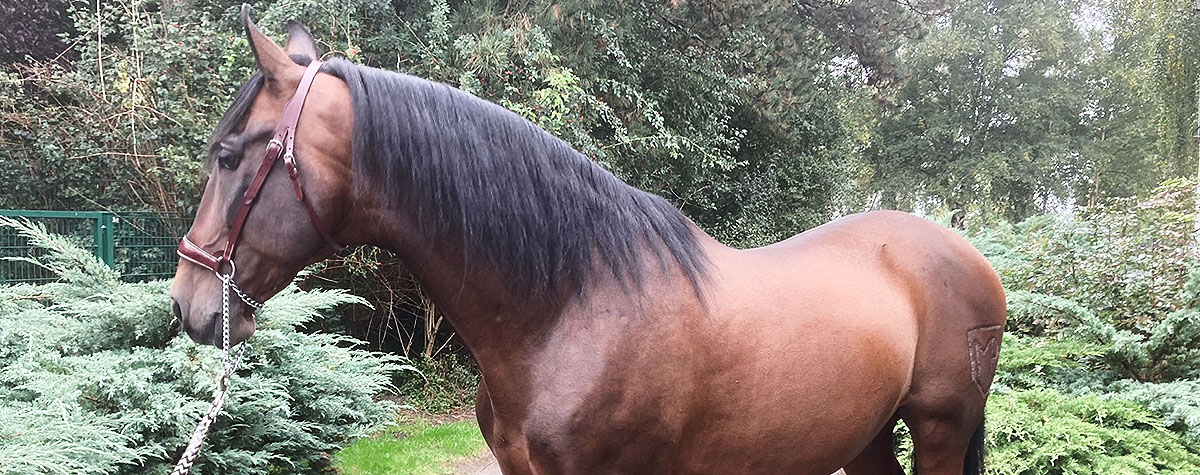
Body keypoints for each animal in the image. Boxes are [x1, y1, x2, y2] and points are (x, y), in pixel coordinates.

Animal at [169, 7, 1006, 474]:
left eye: (230, 154)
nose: (187, 302)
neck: (569, 307)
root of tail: (967, 257)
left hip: (941, 427)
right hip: (864, 433)